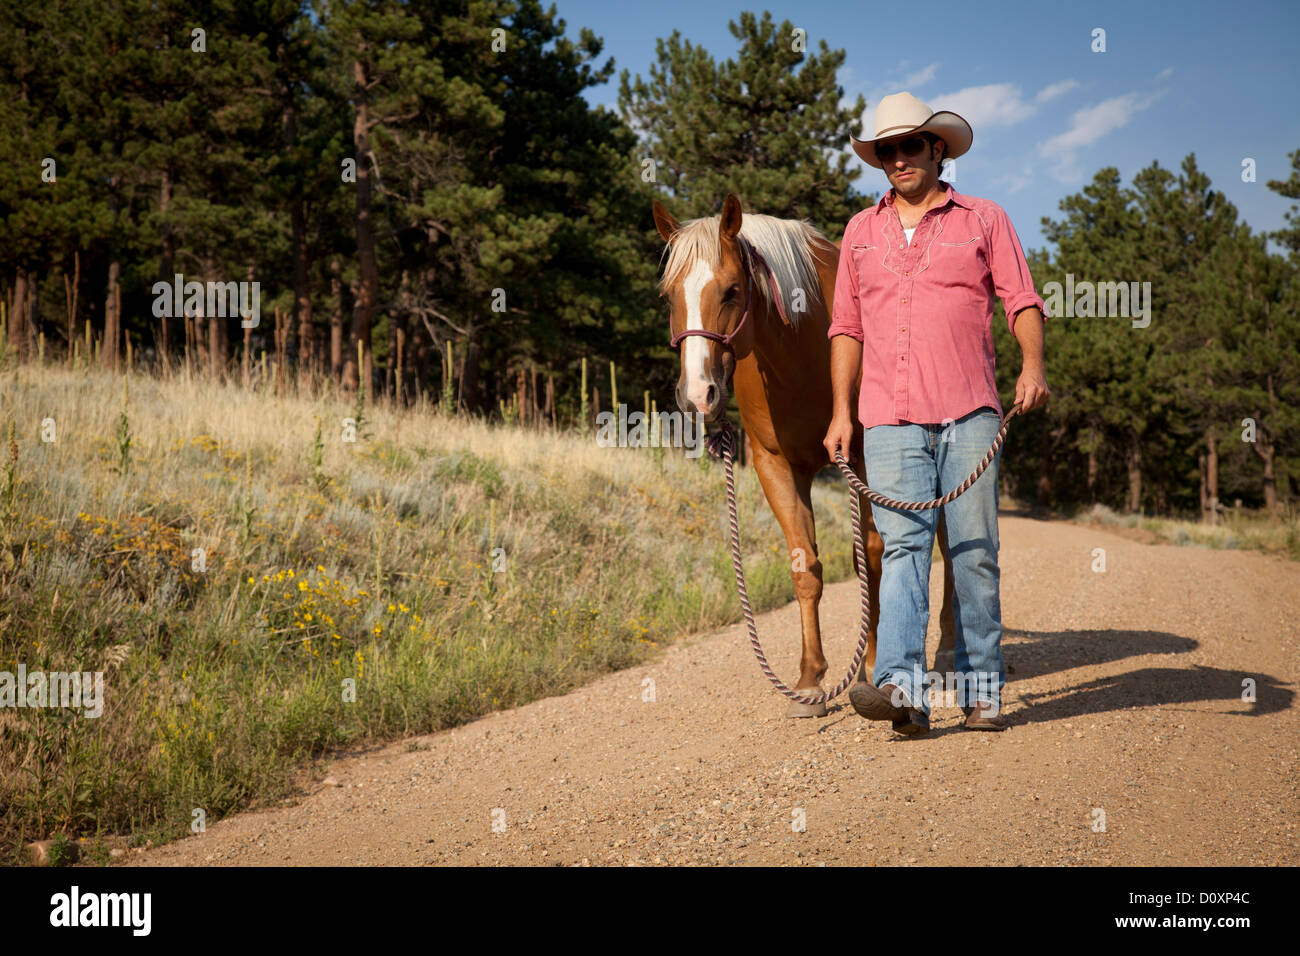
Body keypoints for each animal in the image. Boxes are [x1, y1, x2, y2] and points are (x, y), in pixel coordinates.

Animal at [653, 193, 957, 717]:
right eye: (669, 295)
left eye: (732, 291)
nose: (697, 396)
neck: (806, 349)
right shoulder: (776, 466)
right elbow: (805, 568)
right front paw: (811, 679)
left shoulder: (863, 461)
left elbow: (871, 559)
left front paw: (872, 663)